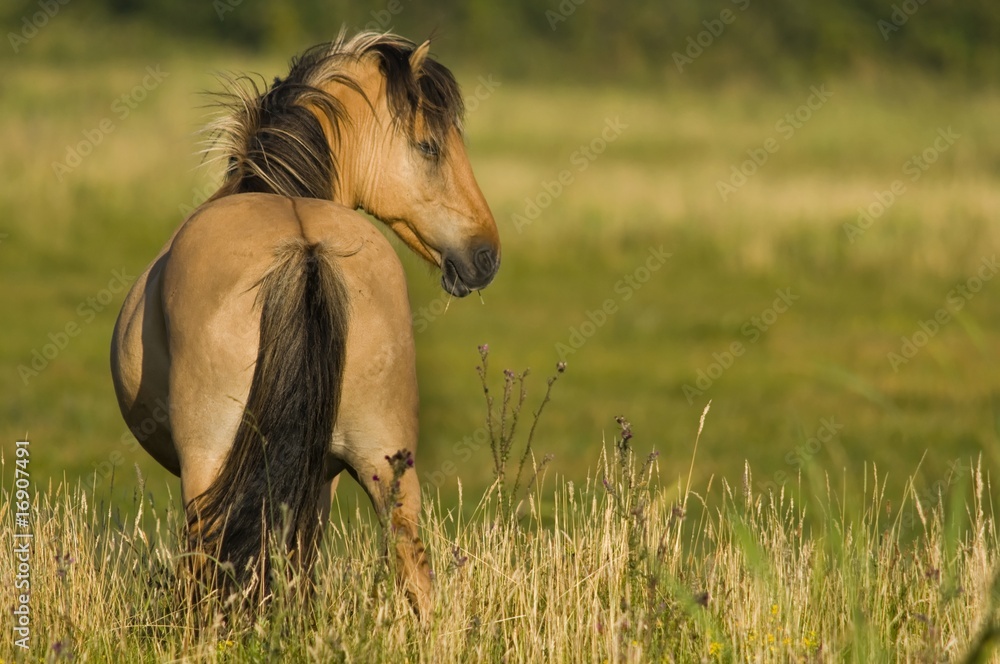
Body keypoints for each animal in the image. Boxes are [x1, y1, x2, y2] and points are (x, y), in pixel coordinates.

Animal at [110, 31, 500, 618]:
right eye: (430, 147)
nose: (486, 255)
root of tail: (306, 246)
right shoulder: (321, 476)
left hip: (209, 467)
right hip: (383, 463)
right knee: (409, 559)